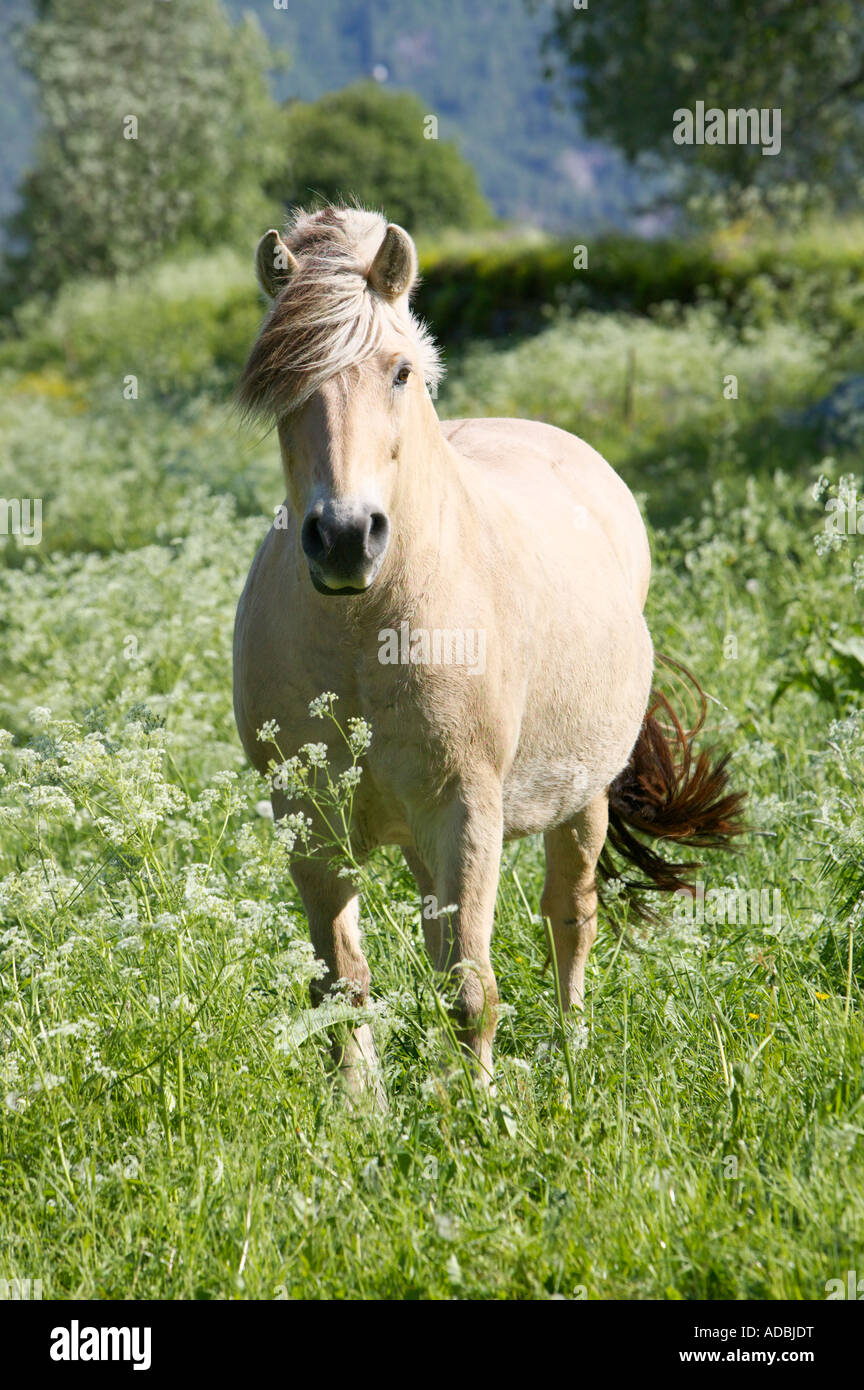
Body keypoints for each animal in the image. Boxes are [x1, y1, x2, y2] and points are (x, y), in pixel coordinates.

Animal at [233, 206, 744, 1093]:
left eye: (399, 372)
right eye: (279, 382)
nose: (344, 538)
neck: (368, 625)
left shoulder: (467, 806)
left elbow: (469, 989)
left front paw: (478, 1108)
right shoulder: (309, 819)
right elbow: (342, 983)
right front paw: (362, 1107)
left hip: (580, 798)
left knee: (570, 917)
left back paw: (572, 1049)